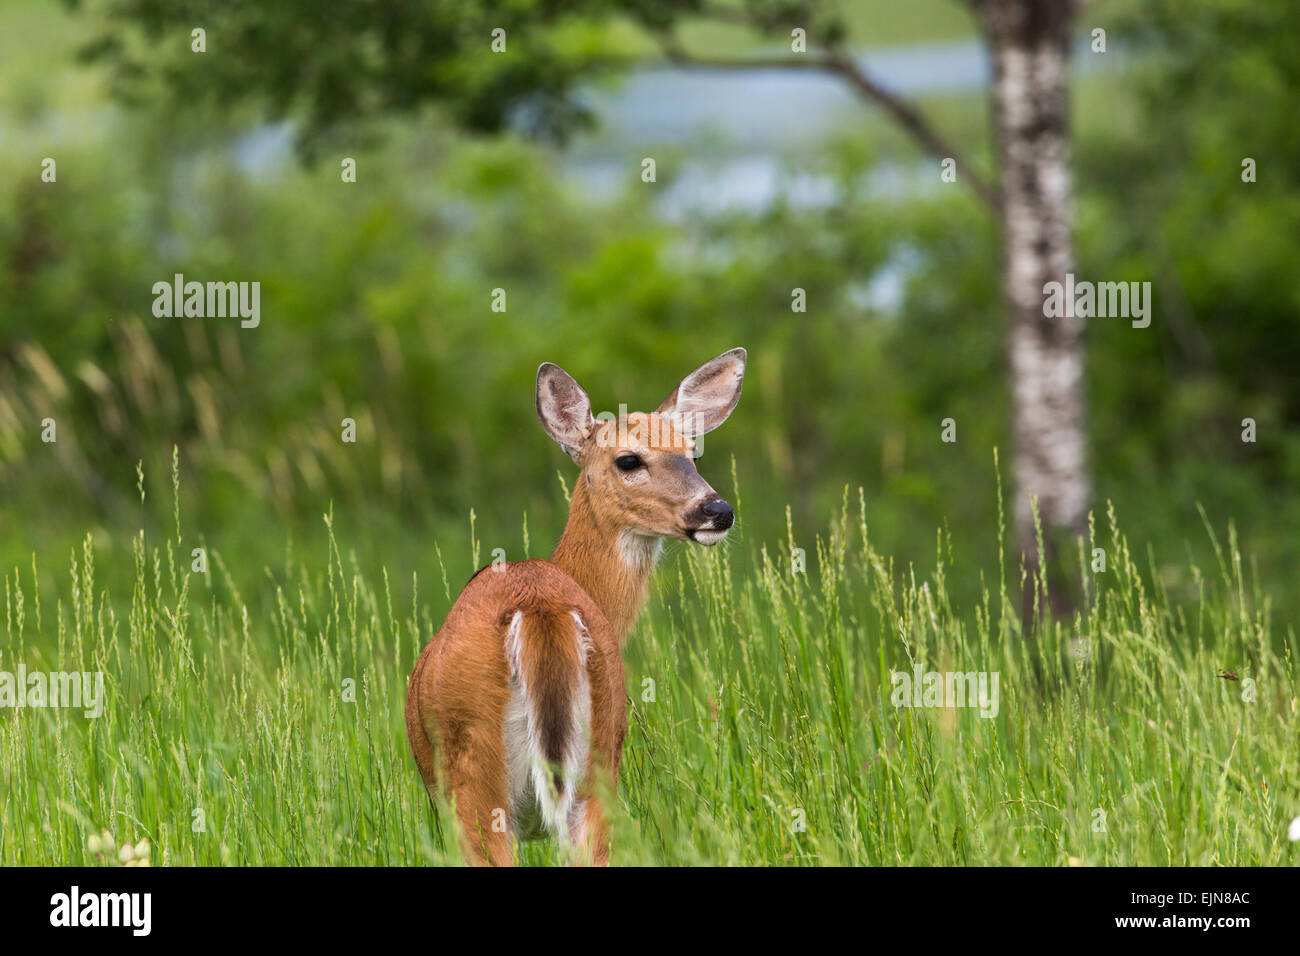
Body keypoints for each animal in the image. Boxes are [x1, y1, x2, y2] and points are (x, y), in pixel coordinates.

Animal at [404, 348, 746, 865]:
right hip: (599, 764)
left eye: (692, 455)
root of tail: (541, 607)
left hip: (476, 773)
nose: (717, 511)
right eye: (629, 459)